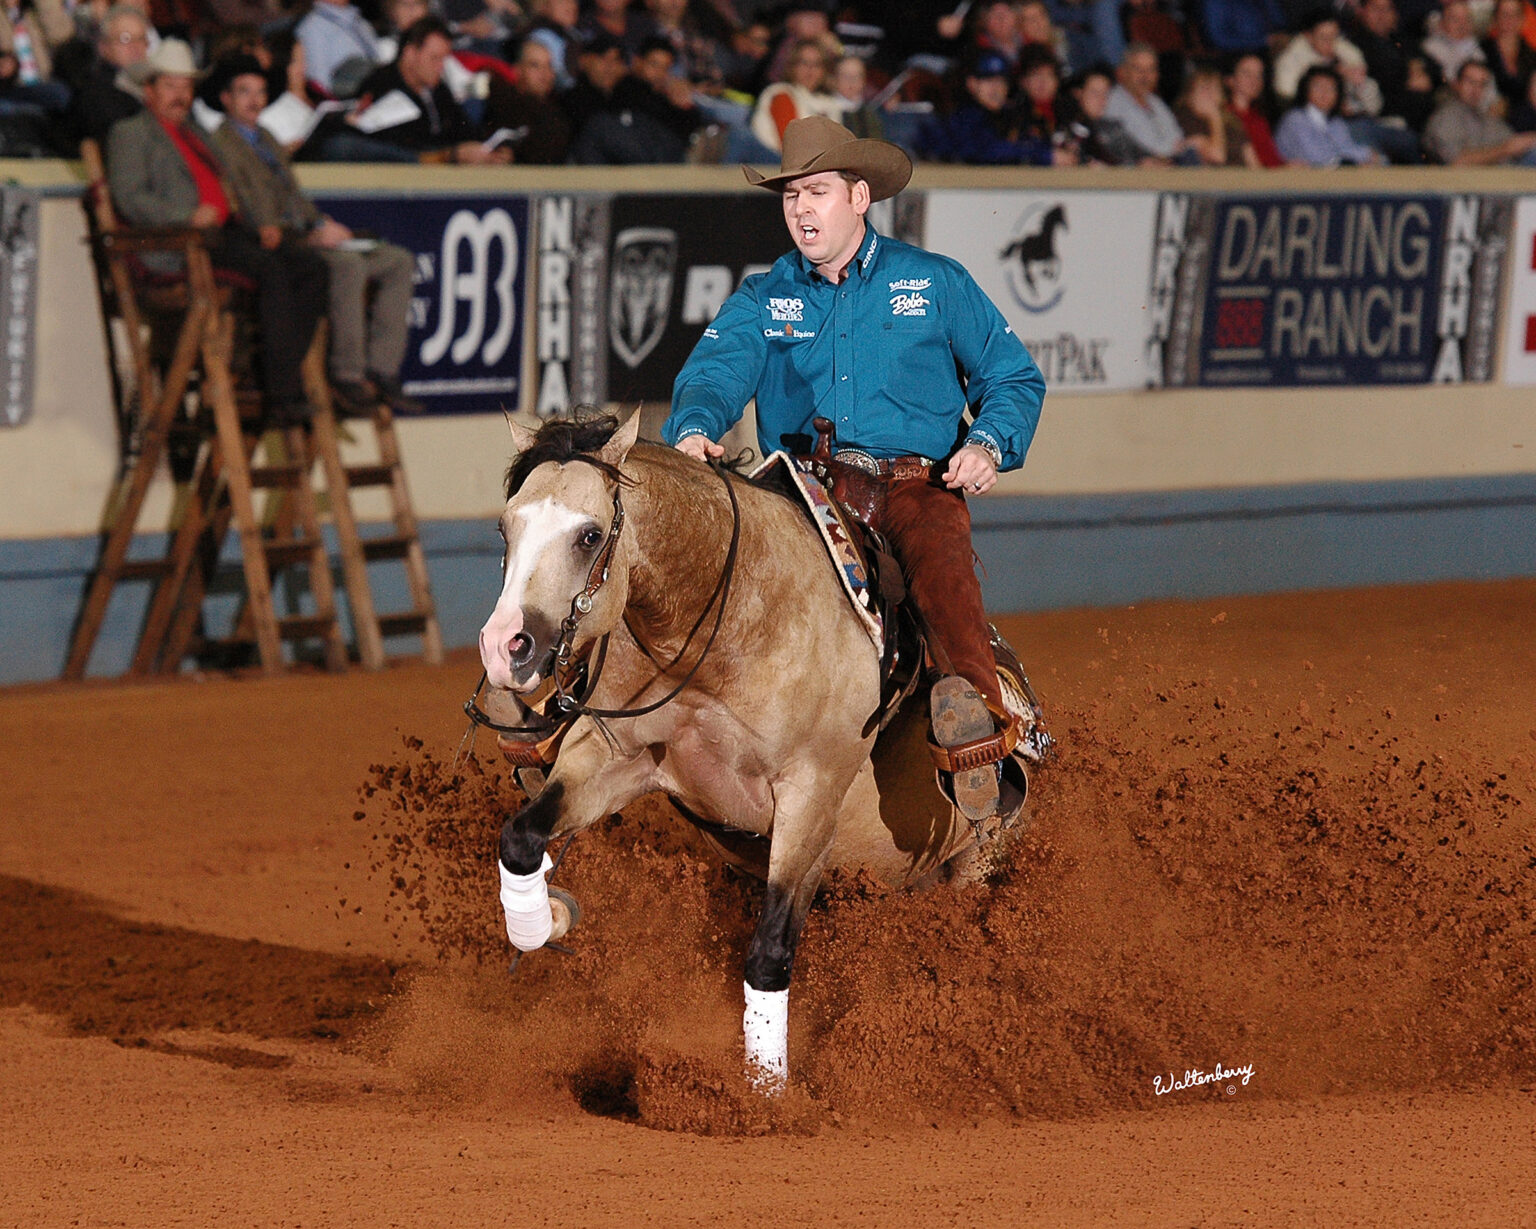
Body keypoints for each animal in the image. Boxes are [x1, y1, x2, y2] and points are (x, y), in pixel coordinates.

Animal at [478, 410, 1041, 1091]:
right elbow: (521, 836)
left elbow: (769, 954)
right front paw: (547, 918)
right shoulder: (616, 760)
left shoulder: (811, 797)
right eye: (506, 526)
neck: (728, 630)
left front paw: (764, 1091)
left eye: (589, 536)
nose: (504, 646)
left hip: (980, 859)